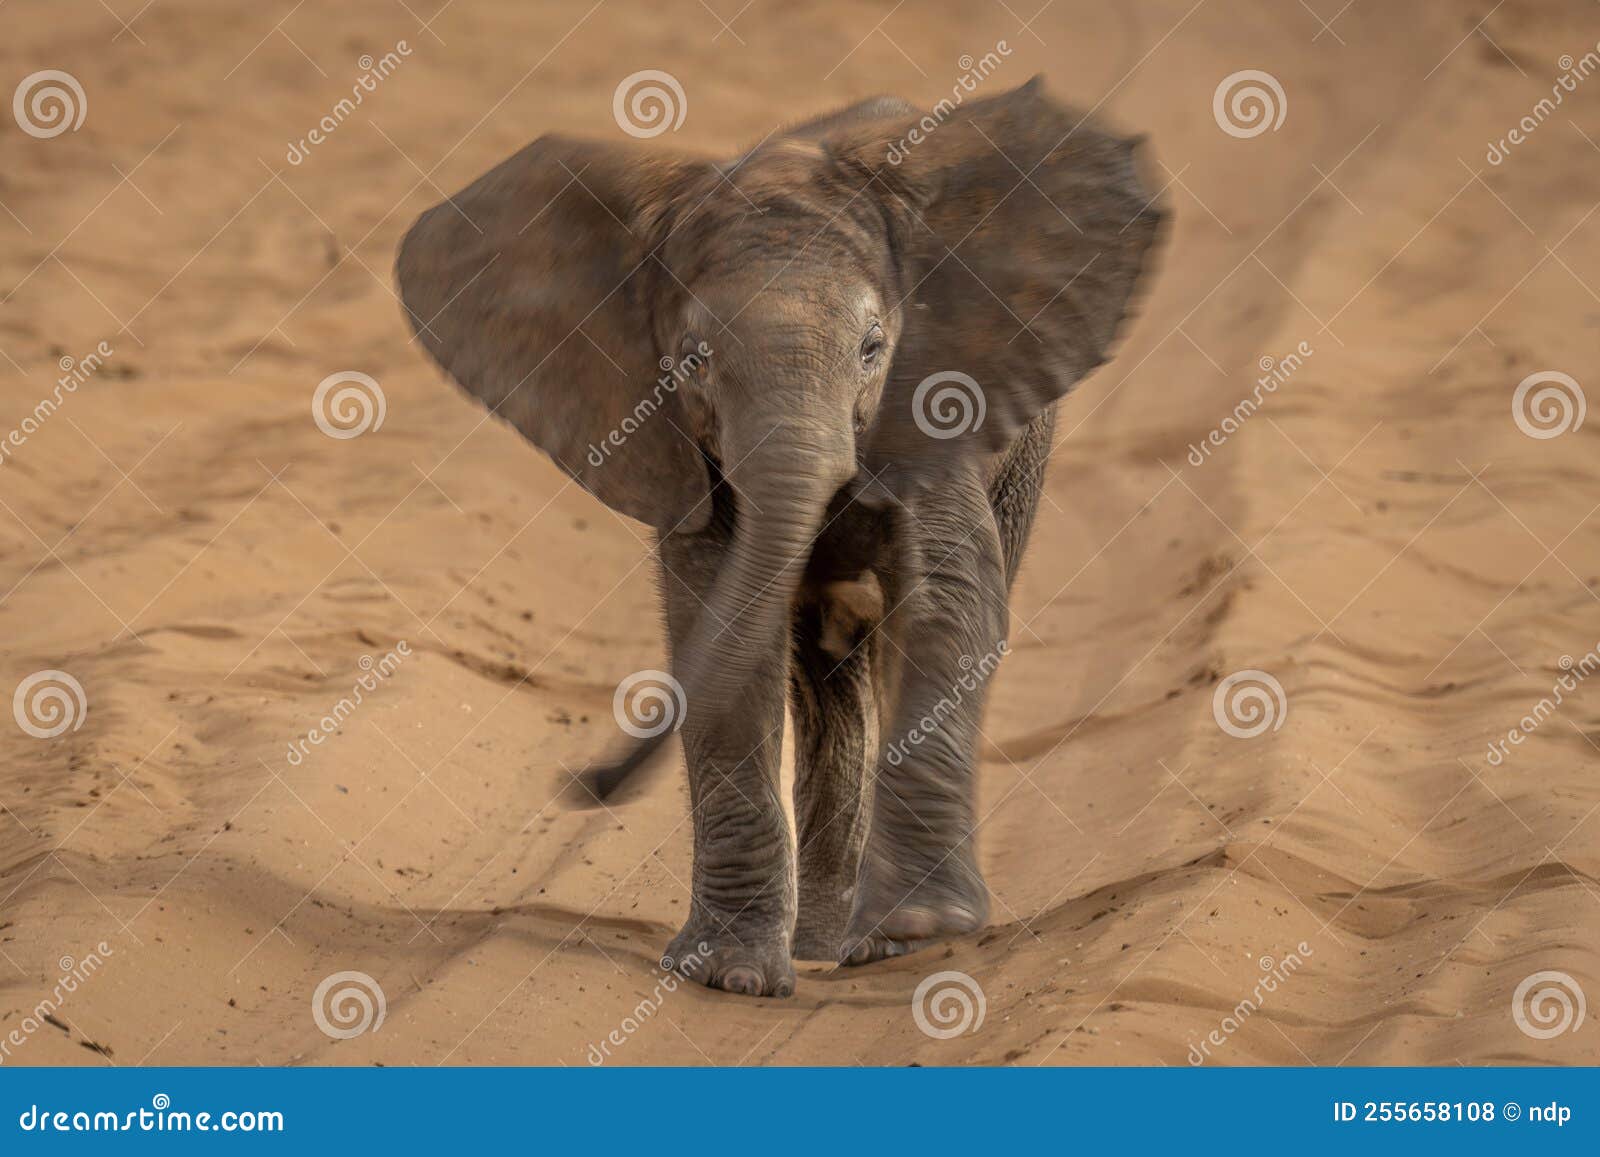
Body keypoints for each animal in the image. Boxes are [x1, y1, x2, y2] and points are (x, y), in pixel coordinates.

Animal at [396, 78, 1163, 998]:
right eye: (692, 361)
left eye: (874, 348)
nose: (581, 782)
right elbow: (722, 630)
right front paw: (729, 975)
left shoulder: (939, 399)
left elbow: (949, 600)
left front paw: (918, 929)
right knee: (825, 674)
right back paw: (827, 939)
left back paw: (864, 940)